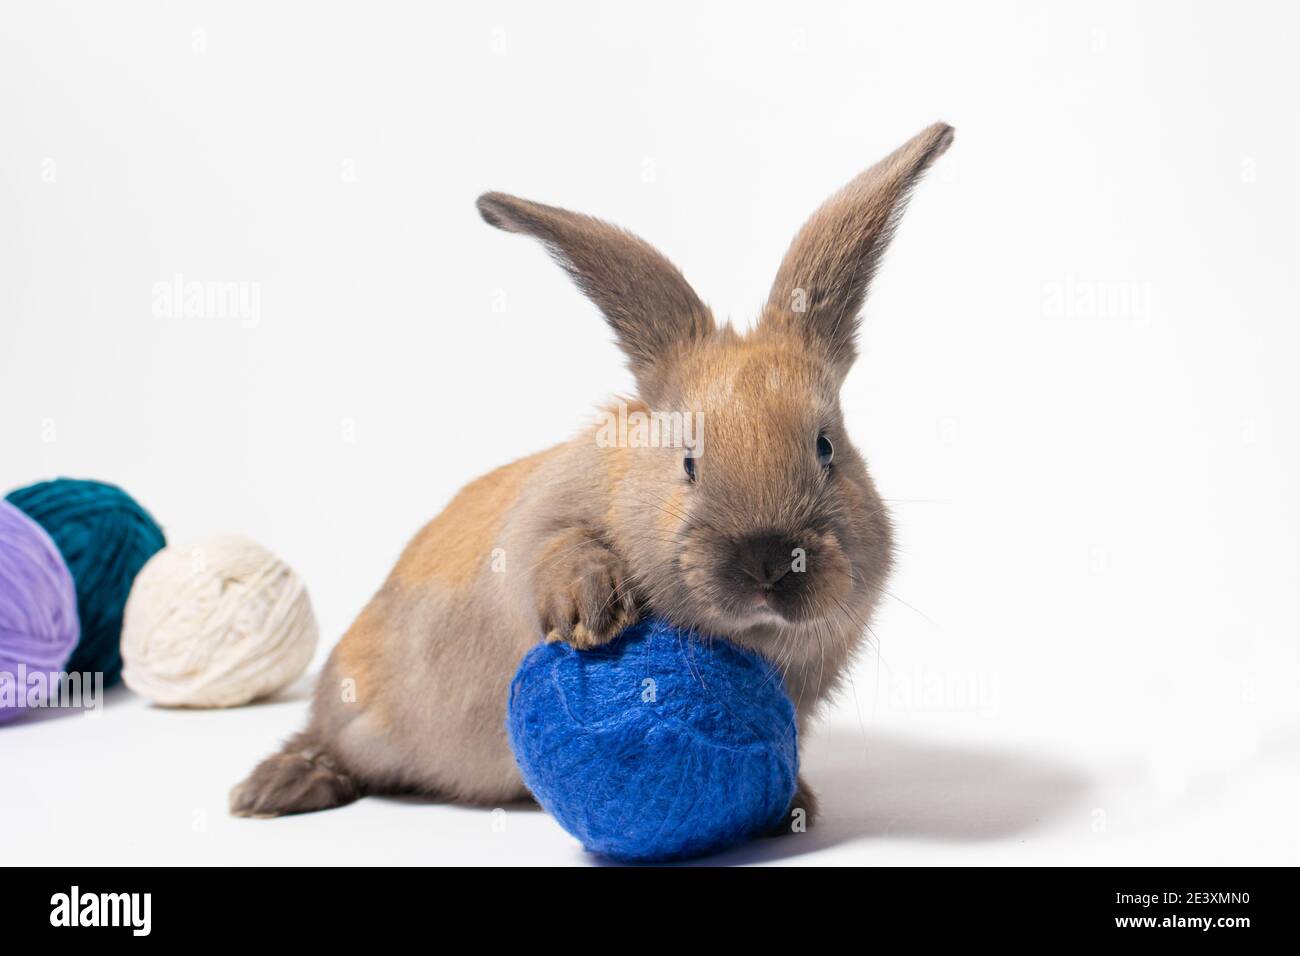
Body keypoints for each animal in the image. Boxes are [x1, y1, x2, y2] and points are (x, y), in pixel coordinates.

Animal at [230, 122, 954, 830]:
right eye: (688, 462)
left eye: (827, 449)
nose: (769, 562)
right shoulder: (539, 520)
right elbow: (556, 546)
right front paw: (595, 612)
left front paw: (794, 805)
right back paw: (278, 787)